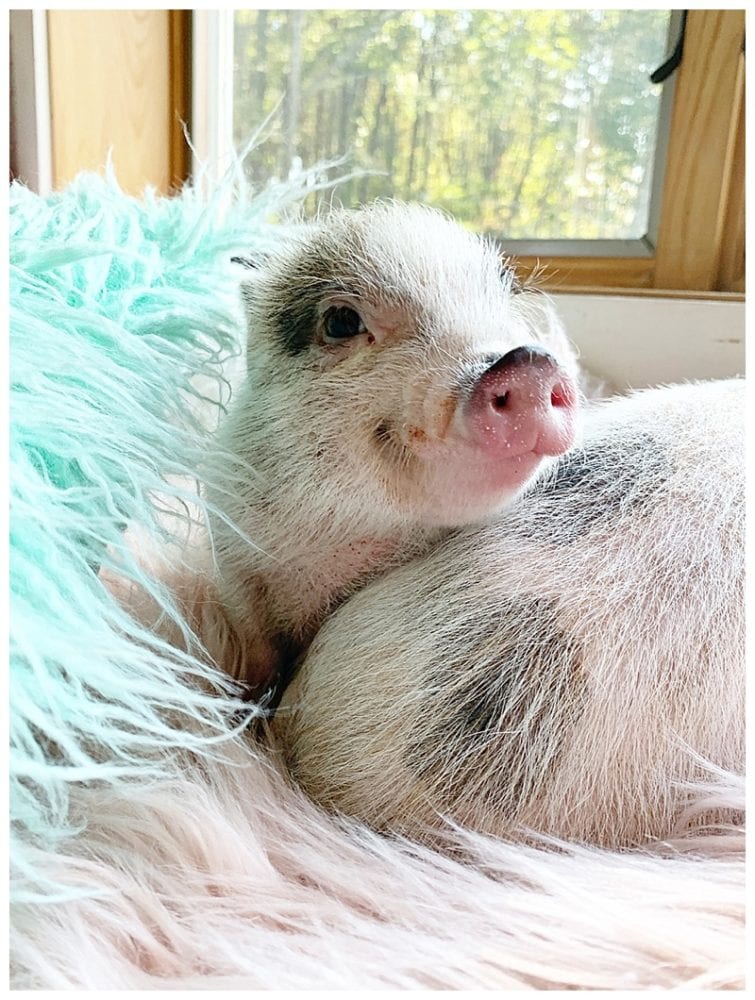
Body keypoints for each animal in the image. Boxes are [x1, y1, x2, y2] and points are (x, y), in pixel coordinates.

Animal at [201, 202, 580, 699]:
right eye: (342, 322)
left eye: (501, 305)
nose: (528, 363)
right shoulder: (234, 562)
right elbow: (258, 658)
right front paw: (246, 700)